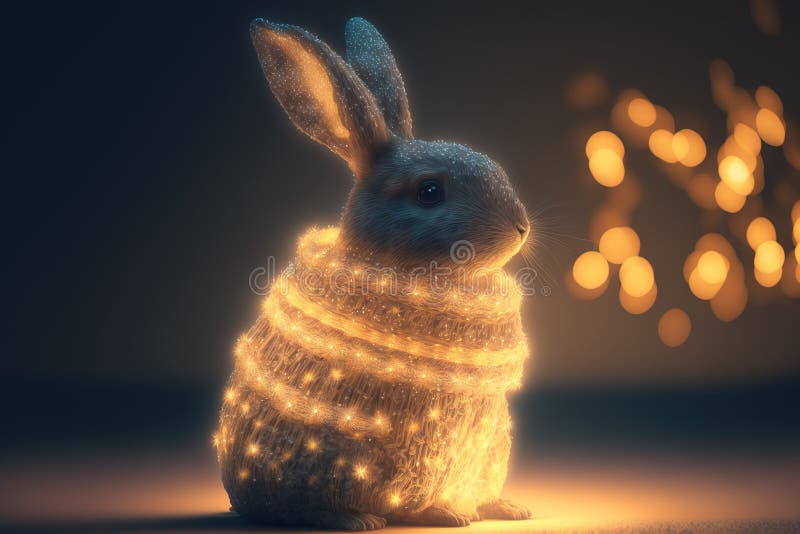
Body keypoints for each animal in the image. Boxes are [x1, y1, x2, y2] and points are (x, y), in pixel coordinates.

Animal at [215, 16, 533, 531]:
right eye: (429, 192)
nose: (521, 227)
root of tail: (239, 498)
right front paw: (446, 513)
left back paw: (505, 507)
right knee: (307, 508)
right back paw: (368, 519)